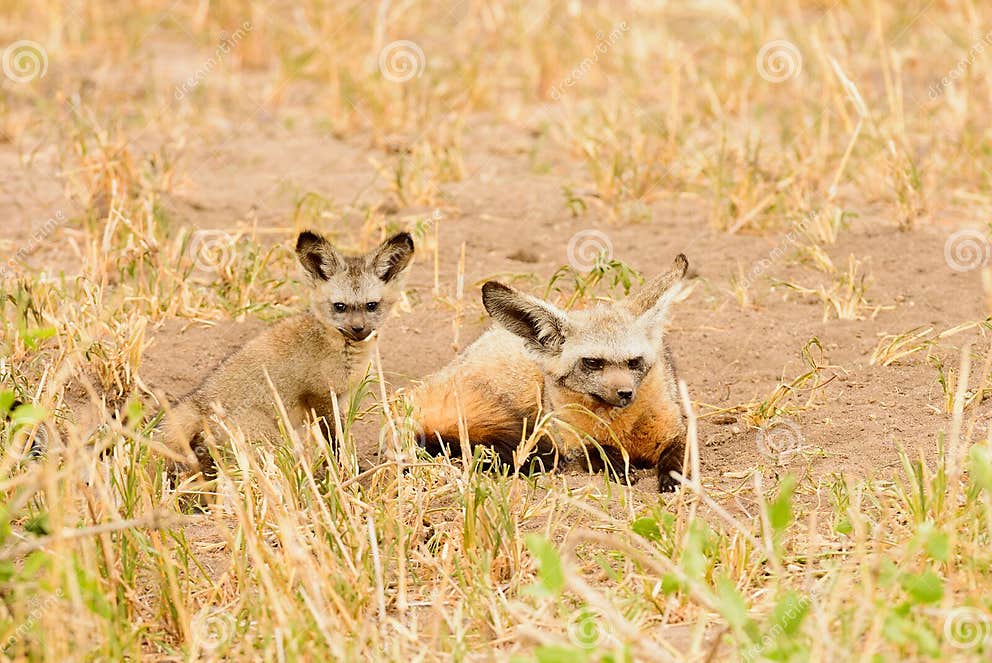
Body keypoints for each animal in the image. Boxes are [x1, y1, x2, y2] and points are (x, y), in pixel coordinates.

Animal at [158, 229, 415, 478]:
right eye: (339, 307)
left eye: (372, 305)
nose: (359, 329)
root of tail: (198, 400)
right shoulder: (321, 397)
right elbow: (336, 440)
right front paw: (347, 473)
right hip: (268, 443)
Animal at [408, 253, 689, 492]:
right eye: (592, 363)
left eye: (634, 362)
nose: (625, 393)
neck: (617, 425)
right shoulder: (570, 439)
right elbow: (595, 450)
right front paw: (617, 465)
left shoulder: (677, 432)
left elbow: (678, 458)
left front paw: (672, 480)